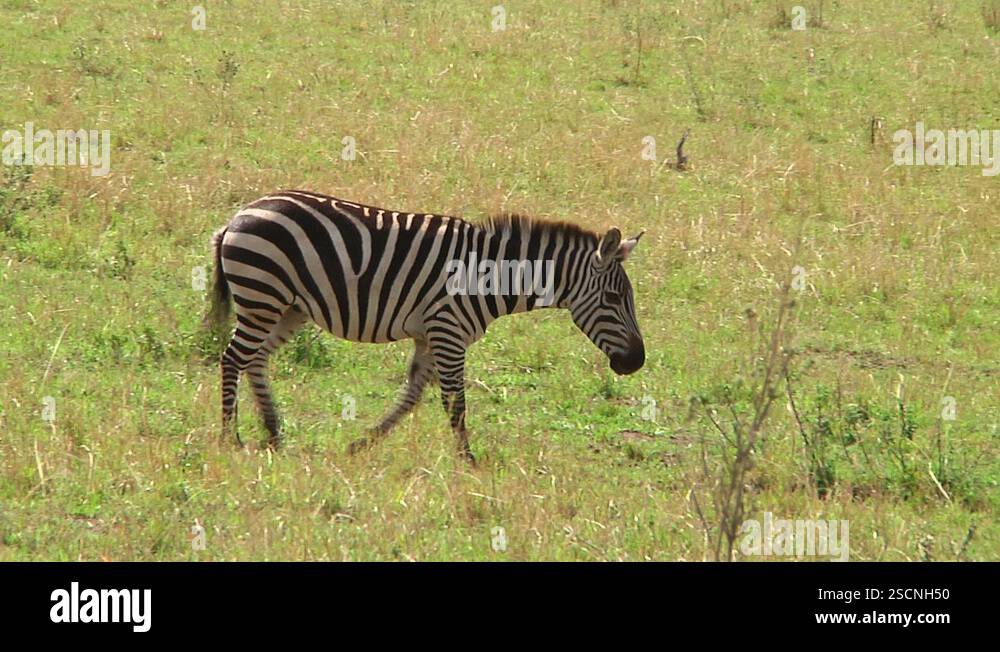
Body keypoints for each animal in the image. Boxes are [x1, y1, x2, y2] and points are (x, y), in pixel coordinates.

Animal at [206, 190, 645, 462]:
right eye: (613, 299)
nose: (637, 362)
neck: (488, 276)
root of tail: (237, 215)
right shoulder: (448, 331)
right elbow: (455, 401)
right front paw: (467, 460)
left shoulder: (429, 335)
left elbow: (412, 396)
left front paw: (362, 443)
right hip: (263, 296)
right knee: (232, 359)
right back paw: (230, 437)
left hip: (286, 307)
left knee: (256, 360)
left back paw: (273, 432)